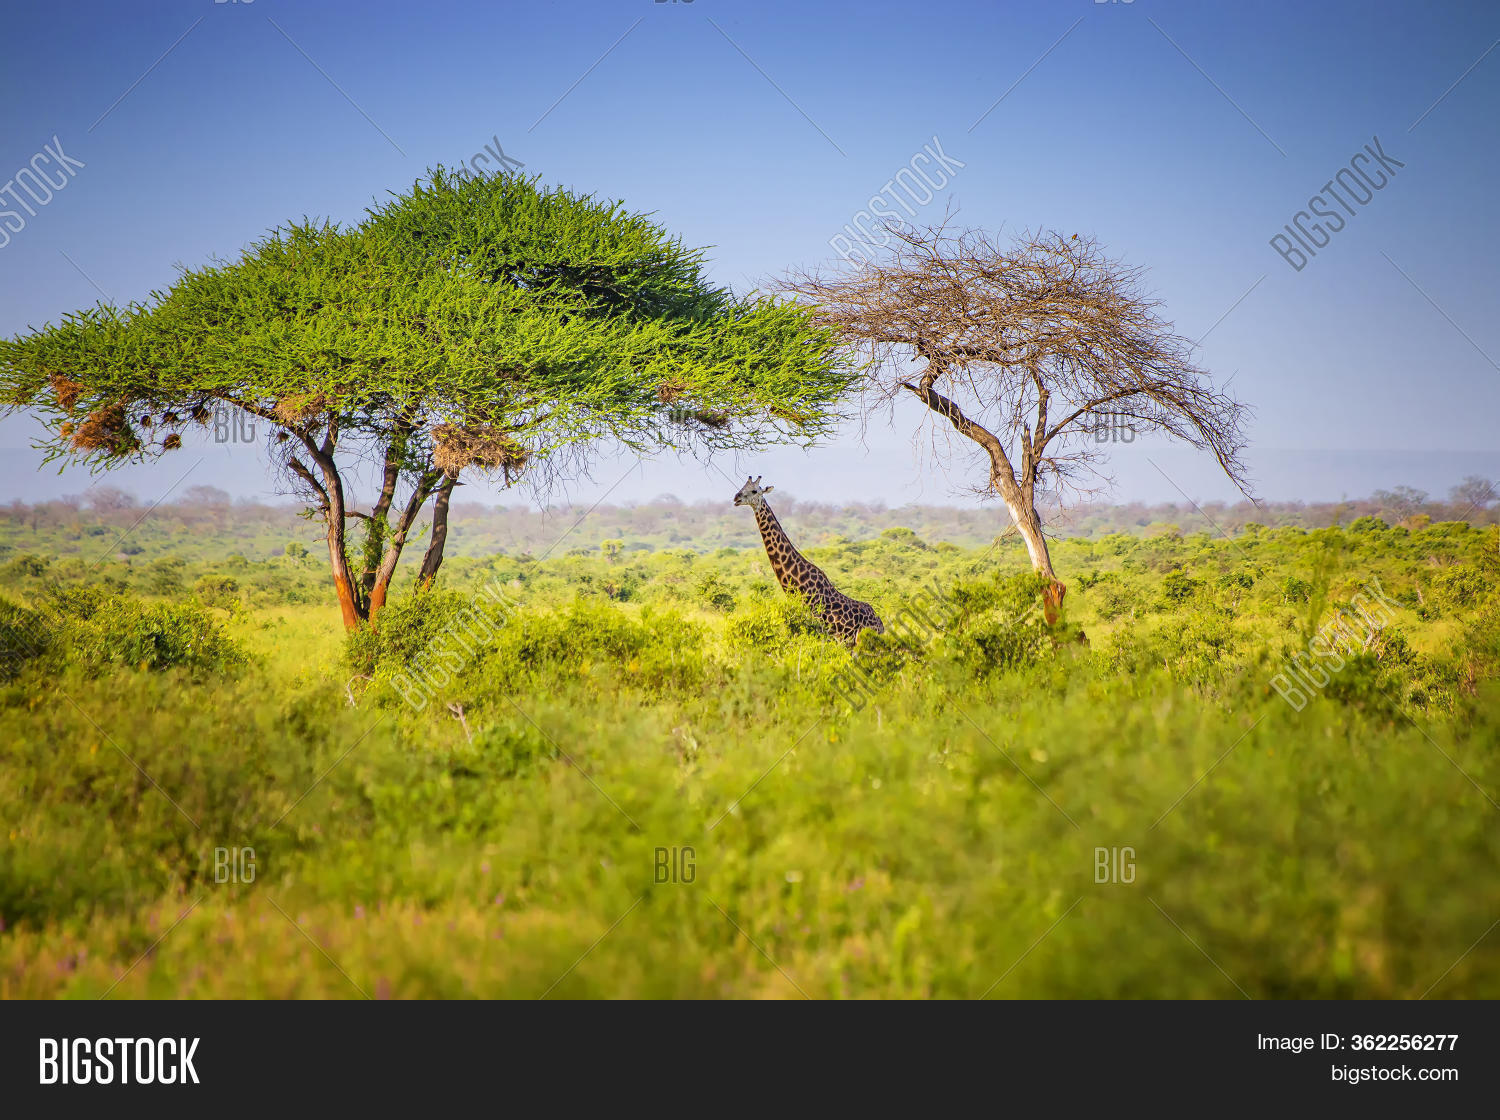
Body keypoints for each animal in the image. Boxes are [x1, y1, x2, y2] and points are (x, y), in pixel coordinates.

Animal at [733, 475, 884, 644]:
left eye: (754, 491)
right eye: (742, 487)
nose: (736, 498)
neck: (799, 586)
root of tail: (881, 626)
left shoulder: (817, 629)